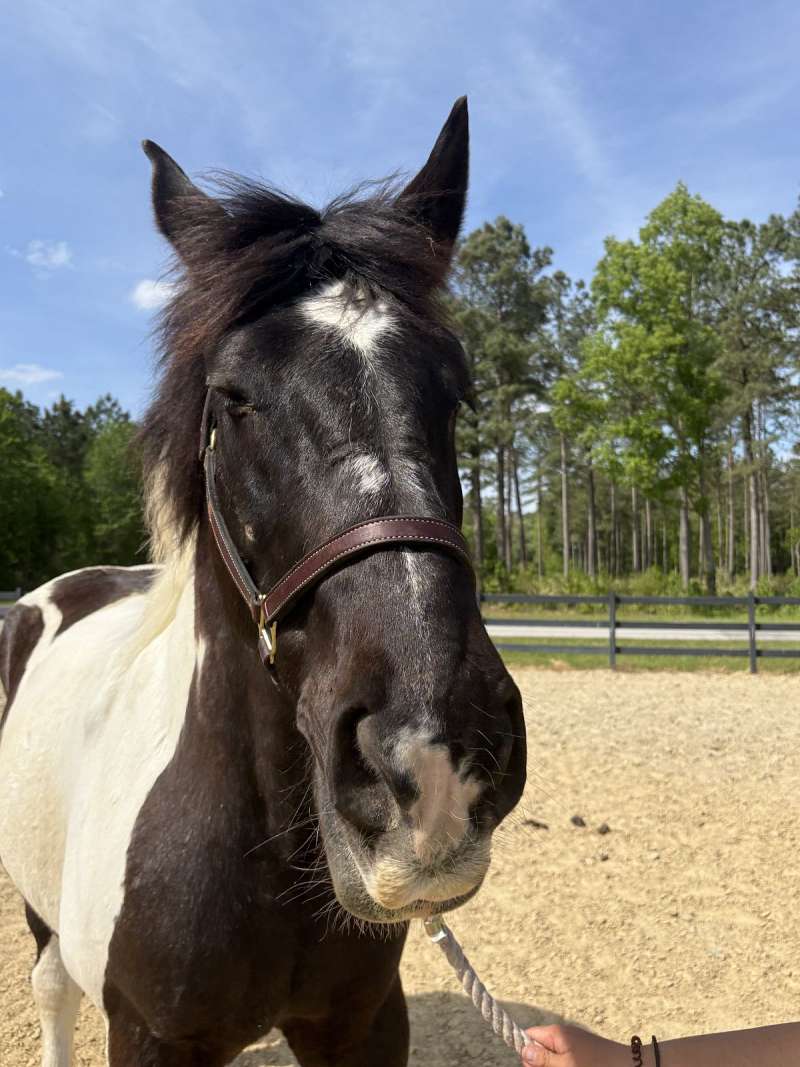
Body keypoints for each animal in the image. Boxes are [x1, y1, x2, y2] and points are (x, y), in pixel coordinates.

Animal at [0, 97, 526, 1067]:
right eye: (233, 396)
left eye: (457, 389)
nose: (433, 754)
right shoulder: (147, 1034)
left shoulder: (361, 1021)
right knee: (51, 988)